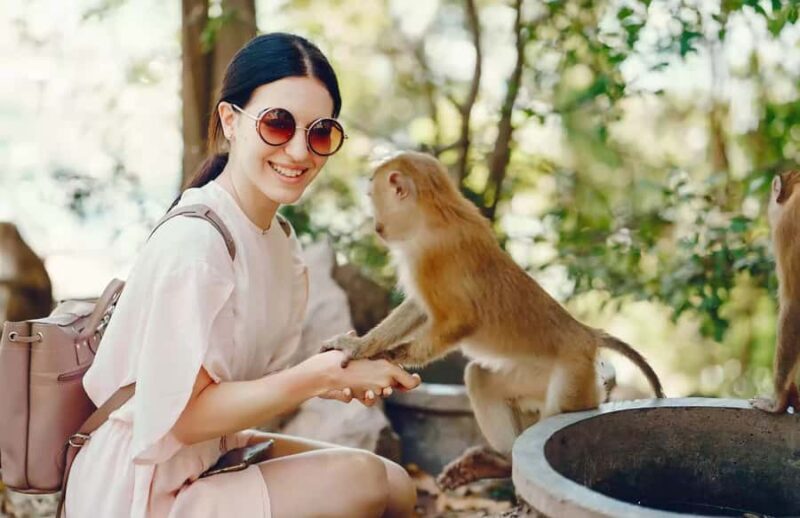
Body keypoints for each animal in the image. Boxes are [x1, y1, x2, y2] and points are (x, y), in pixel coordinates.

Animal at [322, 151, 664, 488]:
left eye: (372, 196)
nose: (377, 225)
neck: (434, 212)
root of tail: (585, 333)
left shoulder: (429, 258)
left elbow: (460, 320)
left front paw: (388, 357)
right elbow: (419, 309)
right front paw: (362, 345)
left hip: (574, 374)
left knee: (557, 406)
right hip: (541, 374)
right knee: (481, 379)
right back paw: (499, 462)